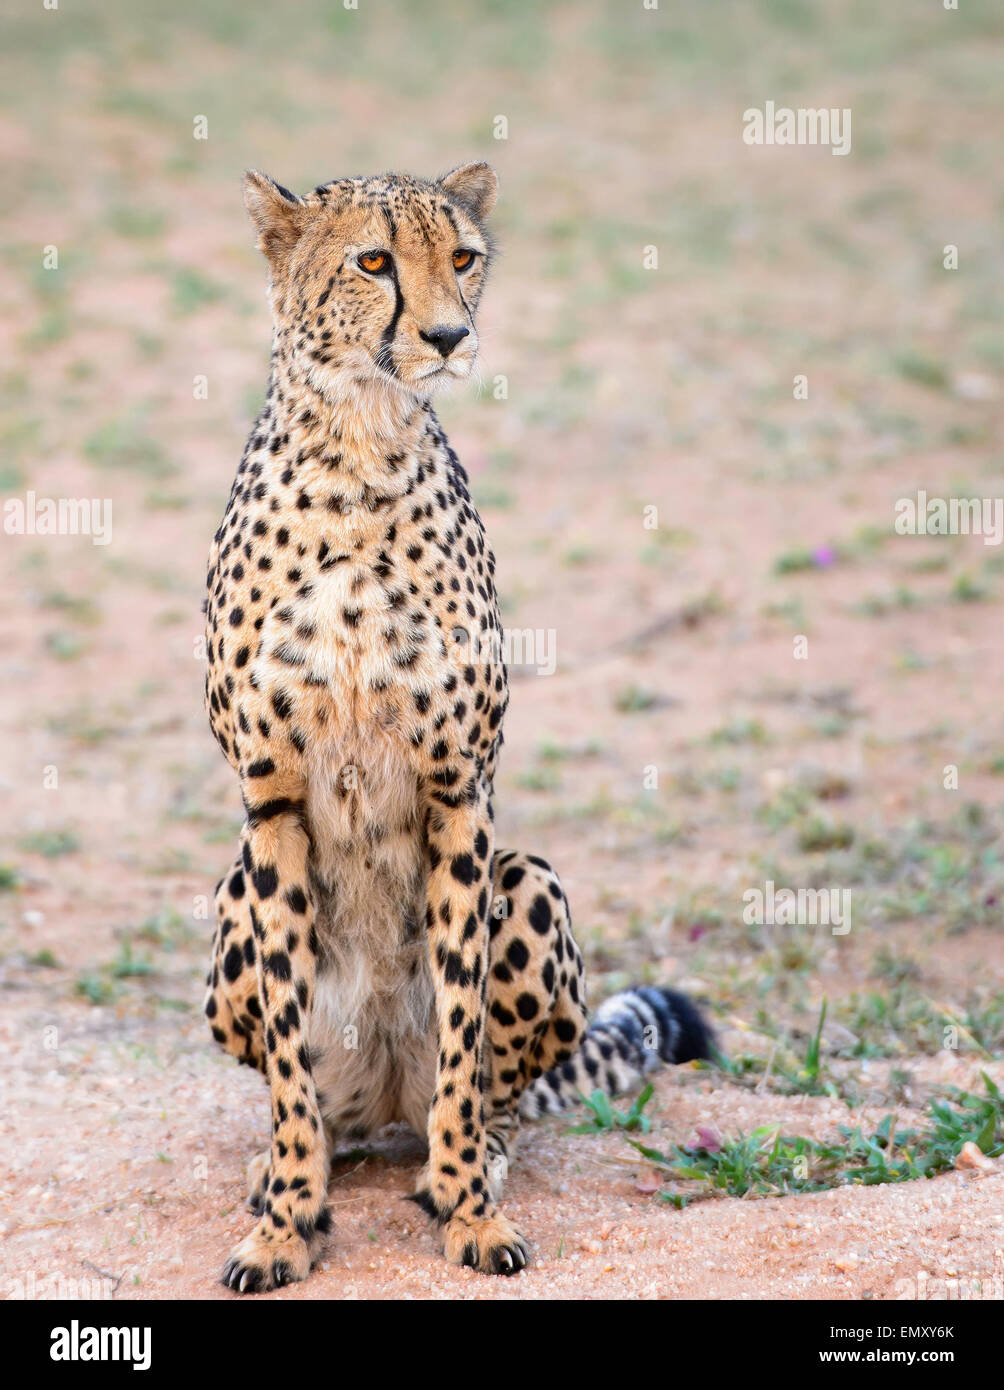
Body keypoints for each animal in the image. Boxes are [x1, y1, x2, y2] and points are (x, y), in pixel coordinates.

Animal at [202, 161, 712, 1293]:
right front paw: (284, 1222)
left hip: (531, 879)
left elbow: (463, 1015)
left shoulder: (458, 790)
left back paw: (462, 1155)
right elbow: (290, 1069)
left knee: (486, 1089)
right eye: (373, 261)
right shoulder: (268, 804)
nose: (445, 335)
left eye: (465, 257)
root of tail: (381, 1095)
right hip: (227, 908)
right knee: (321, 1102)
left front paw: (469, 1213)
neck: (358, 451)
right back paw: (296, 1165)